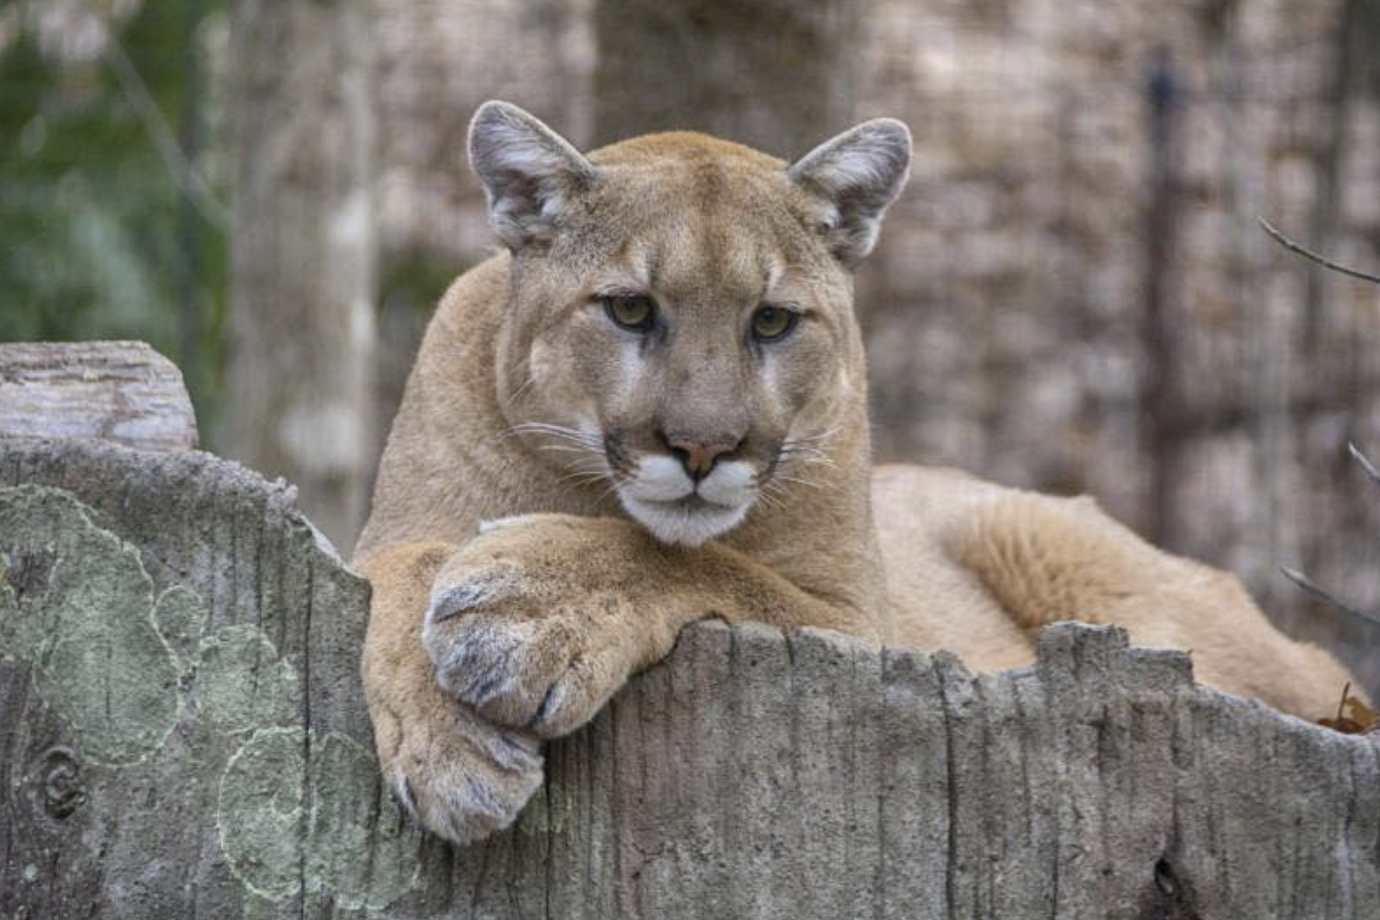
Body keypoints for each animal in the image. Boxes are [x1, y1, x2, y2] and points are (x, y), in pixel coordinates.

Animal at [354, 101, 1361, 845]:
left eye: (771, 321)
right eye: (630, 310)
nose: (703, 449)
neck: (581, 490)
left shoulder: (865, 627)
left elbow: (712, 566)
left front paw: (527, 609)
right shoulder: (381, 541)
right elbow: (401, 571)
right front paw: (452, 751)